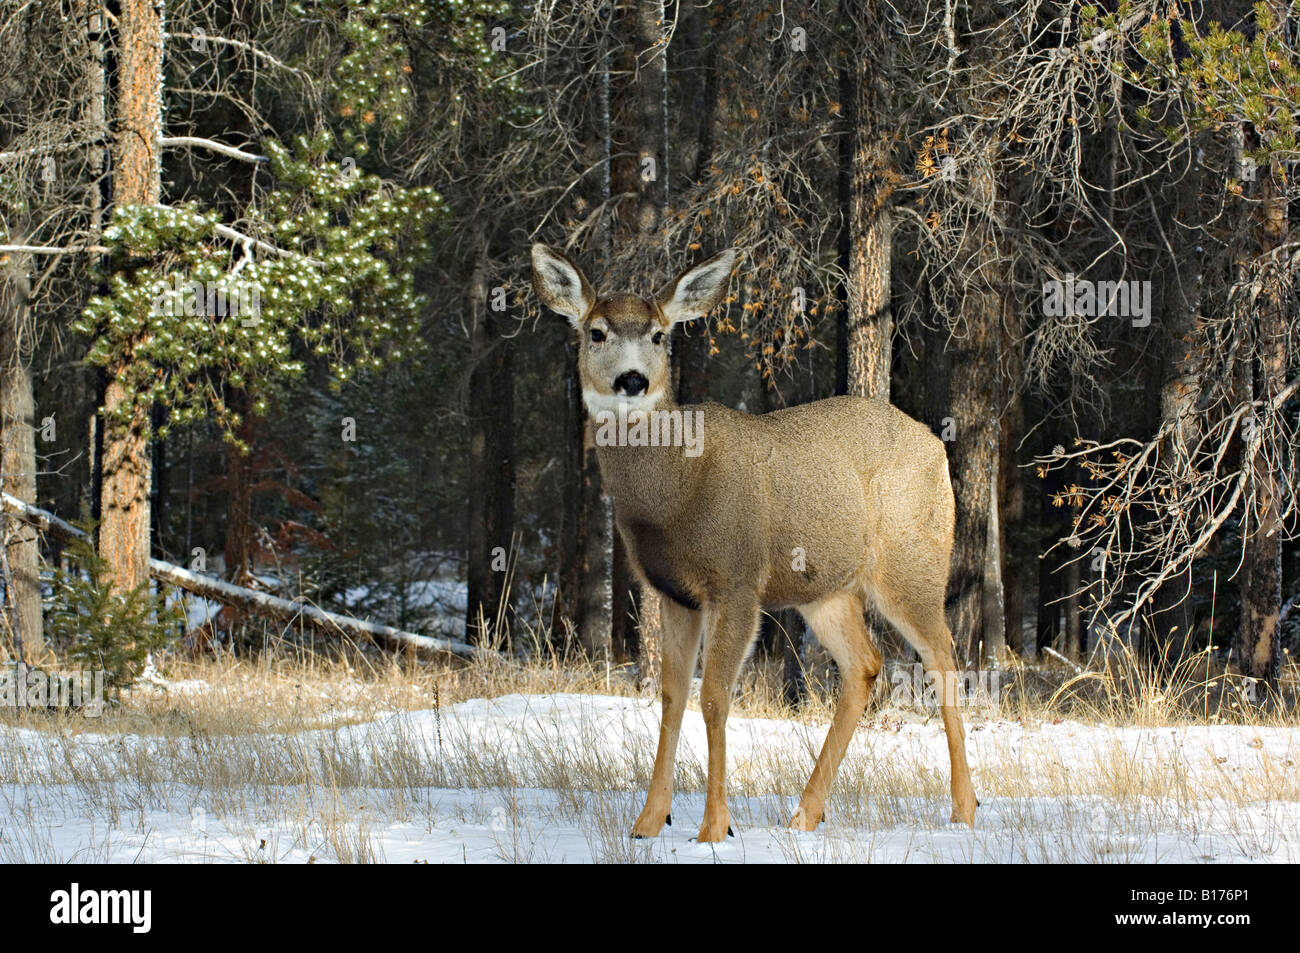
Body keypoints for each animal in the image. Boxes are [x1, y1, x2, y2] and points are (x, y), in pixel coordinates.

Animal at [531, 242, 978, 843]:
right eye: (596, 332)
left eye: (659, 335)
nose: (632, 381)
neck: (674, 489)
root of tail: (935, 444)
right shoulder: (674, 593)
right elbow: (671, 696)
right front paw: (647, 822)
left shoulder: (738, 582)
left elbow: (716, 697)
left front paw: (714, 827)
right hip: (825, 590)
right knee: (864, 664)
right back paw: (804, 814)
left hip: (913, 562)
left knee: (944, 659)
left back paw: (964, 809)